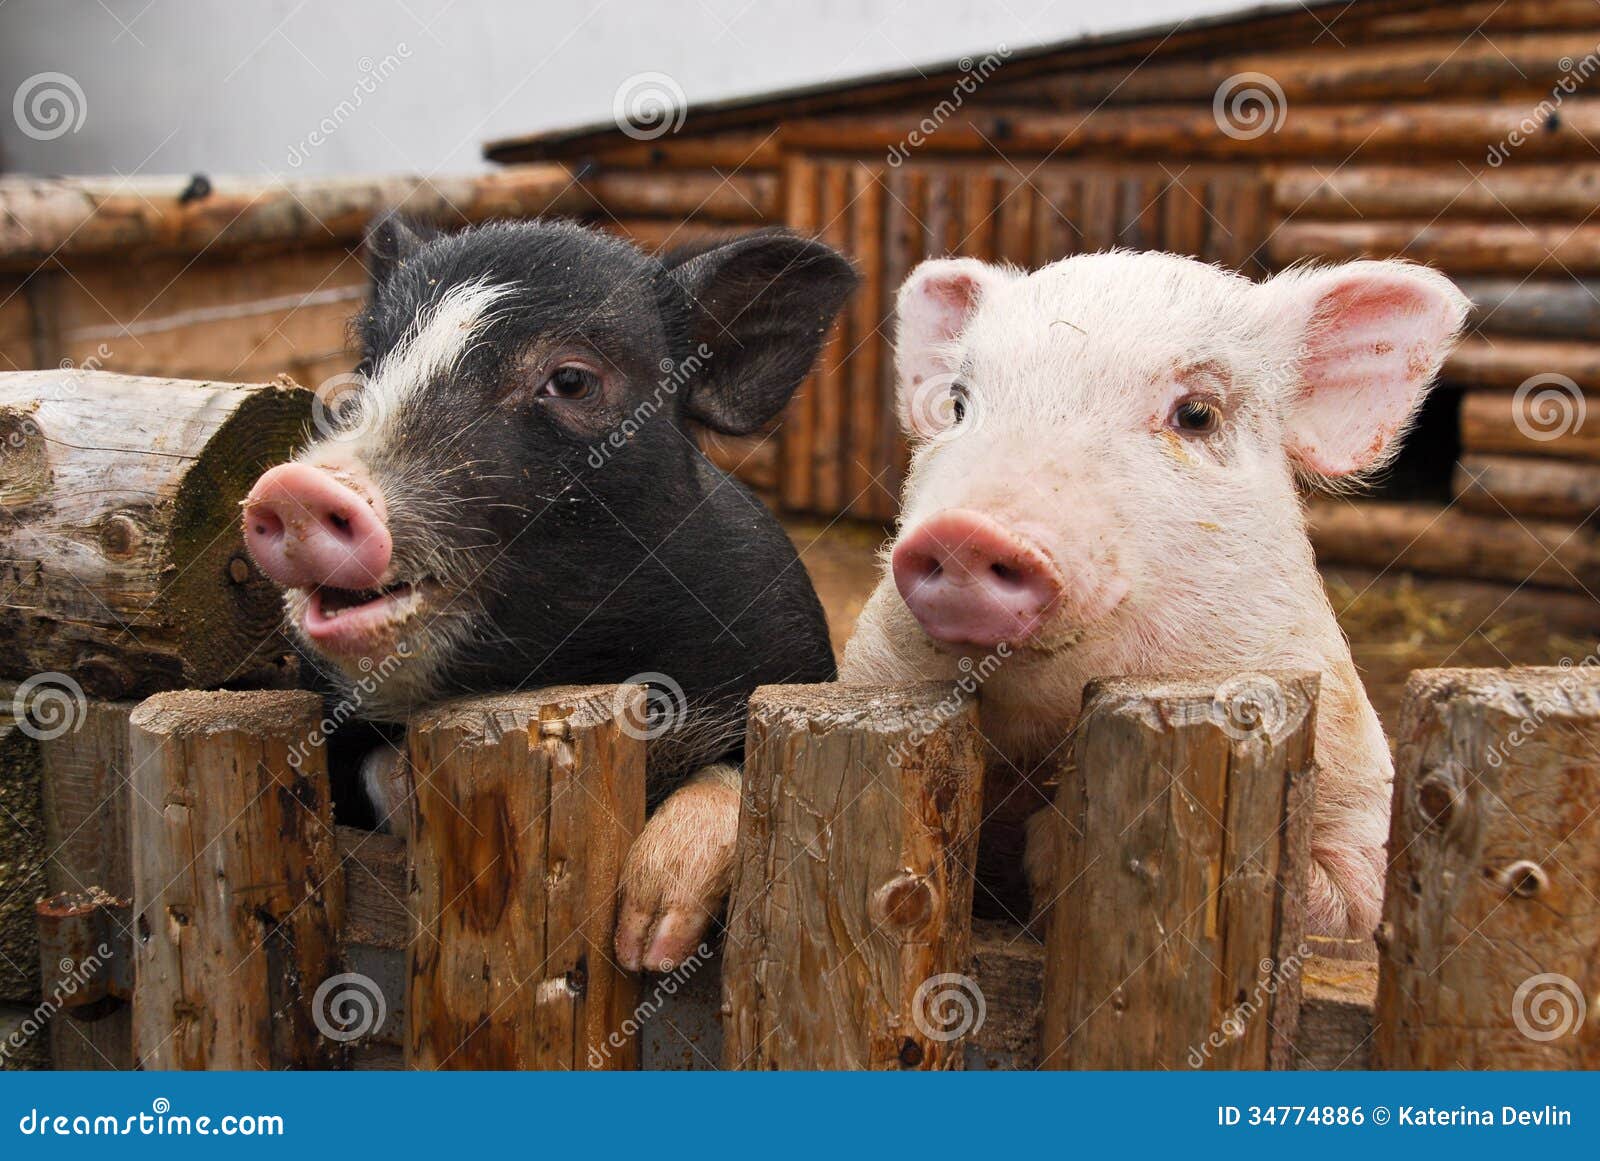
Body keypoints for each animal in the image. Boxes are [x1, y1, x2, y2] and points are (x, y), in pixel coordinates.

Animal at [242, 217, 857, 971]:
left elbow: (737, 777)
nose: (294, 488)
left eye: (570, 379)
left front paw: (645, 945)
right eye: (365, 373)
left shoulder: (789, 649)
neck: (565, 662)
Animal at [840, 249, 1469, 941]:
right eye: (957, 403)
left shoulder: (1357, 784)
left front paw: (1054, 839)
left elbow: (1340, 900)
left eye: (1197, 415)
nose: (965, 533)